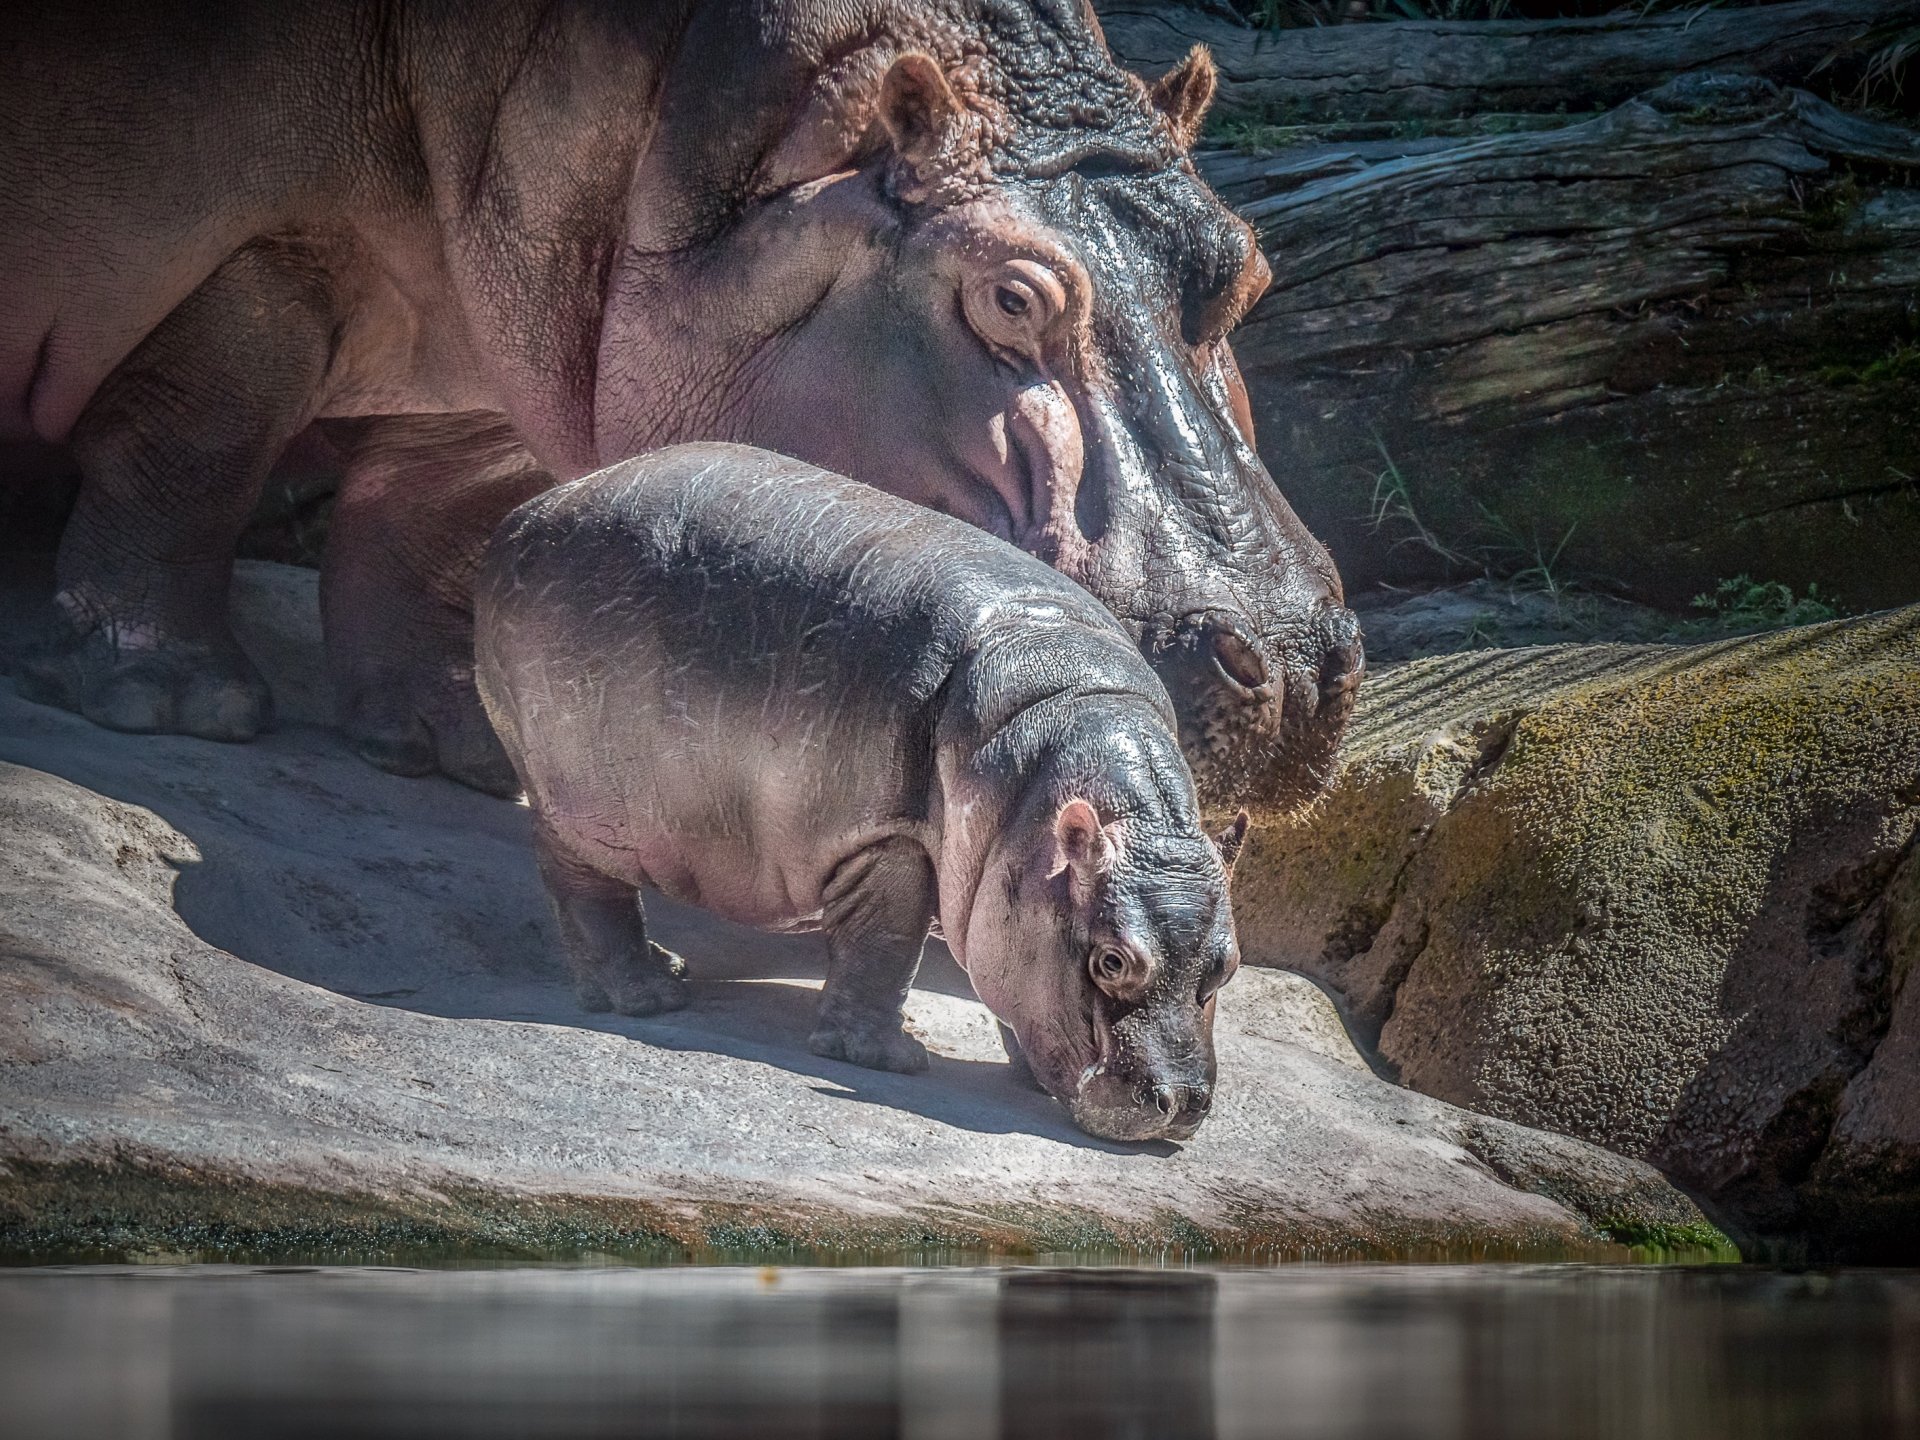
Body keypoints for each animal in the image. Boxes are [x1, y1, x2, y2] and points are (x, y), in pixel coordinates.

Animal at [0, 0, 1361, 813]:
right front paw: (174, 704)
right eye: (1010, 297)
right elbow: (196, 448)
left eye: (1245, 263)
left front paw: (461, 746)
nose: (1295, 666)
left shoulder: (506, 333)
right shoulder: (264, 252)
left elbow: (422, 520)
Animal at [475, 444, 1247, 1142]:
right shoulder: (889, 838)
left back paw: (671, 967)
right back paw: (646, 997)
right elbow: (884, 944)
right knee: (584, 886)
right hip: (580, 800)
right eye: (1111, 960)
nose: (1182, 1103)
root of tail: (523, 516)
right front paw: (887, 1059)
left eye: (1228, 964)